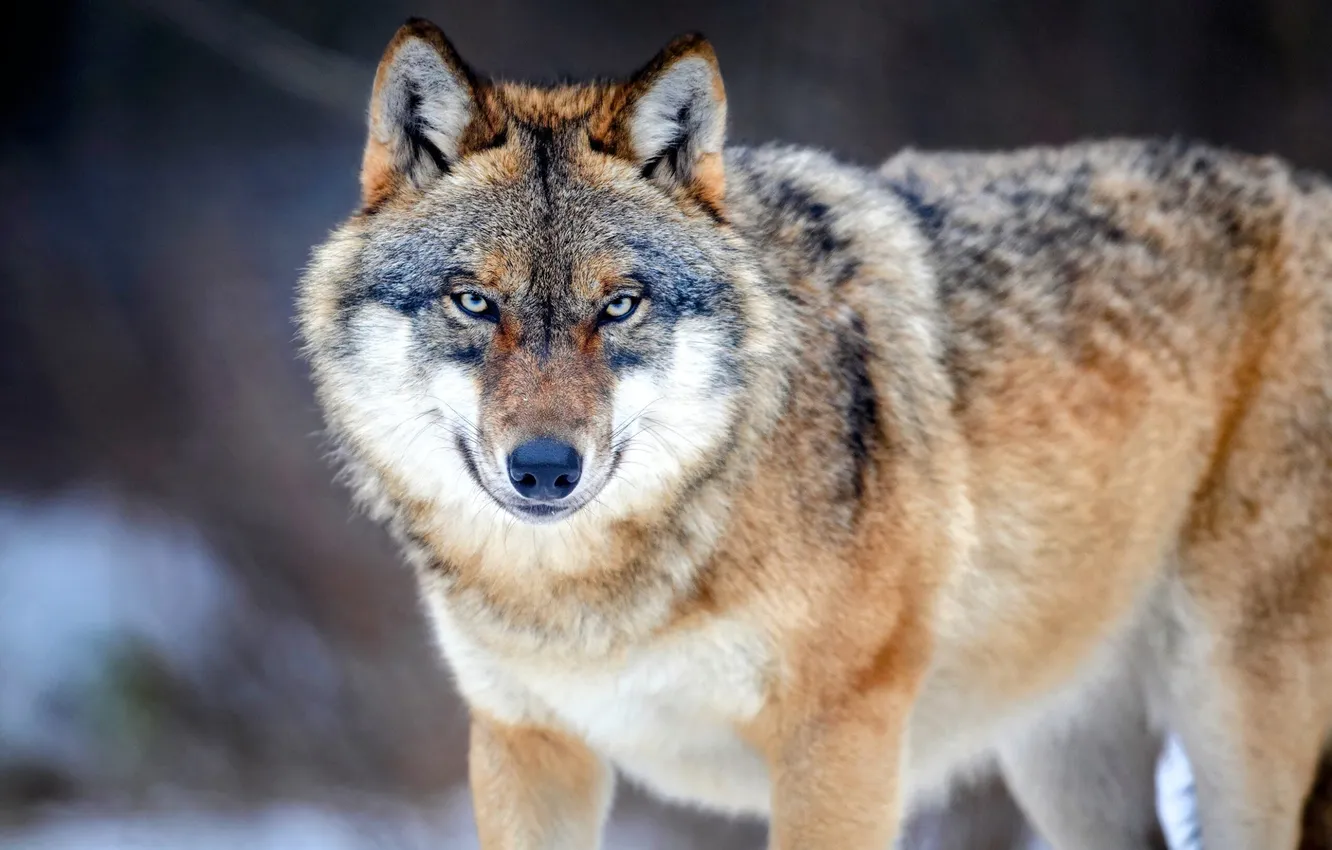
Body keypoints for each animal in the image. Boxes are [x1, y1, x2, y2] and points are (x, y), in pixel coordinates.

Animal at [297, 18, 1332, 850]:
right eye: (474, 302)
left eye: (621, 306)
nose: (545, 470)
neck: (592, 603)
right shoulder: (526, 743)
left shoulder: (839, 737)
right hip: (1064, 762)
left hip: (1228, 717)